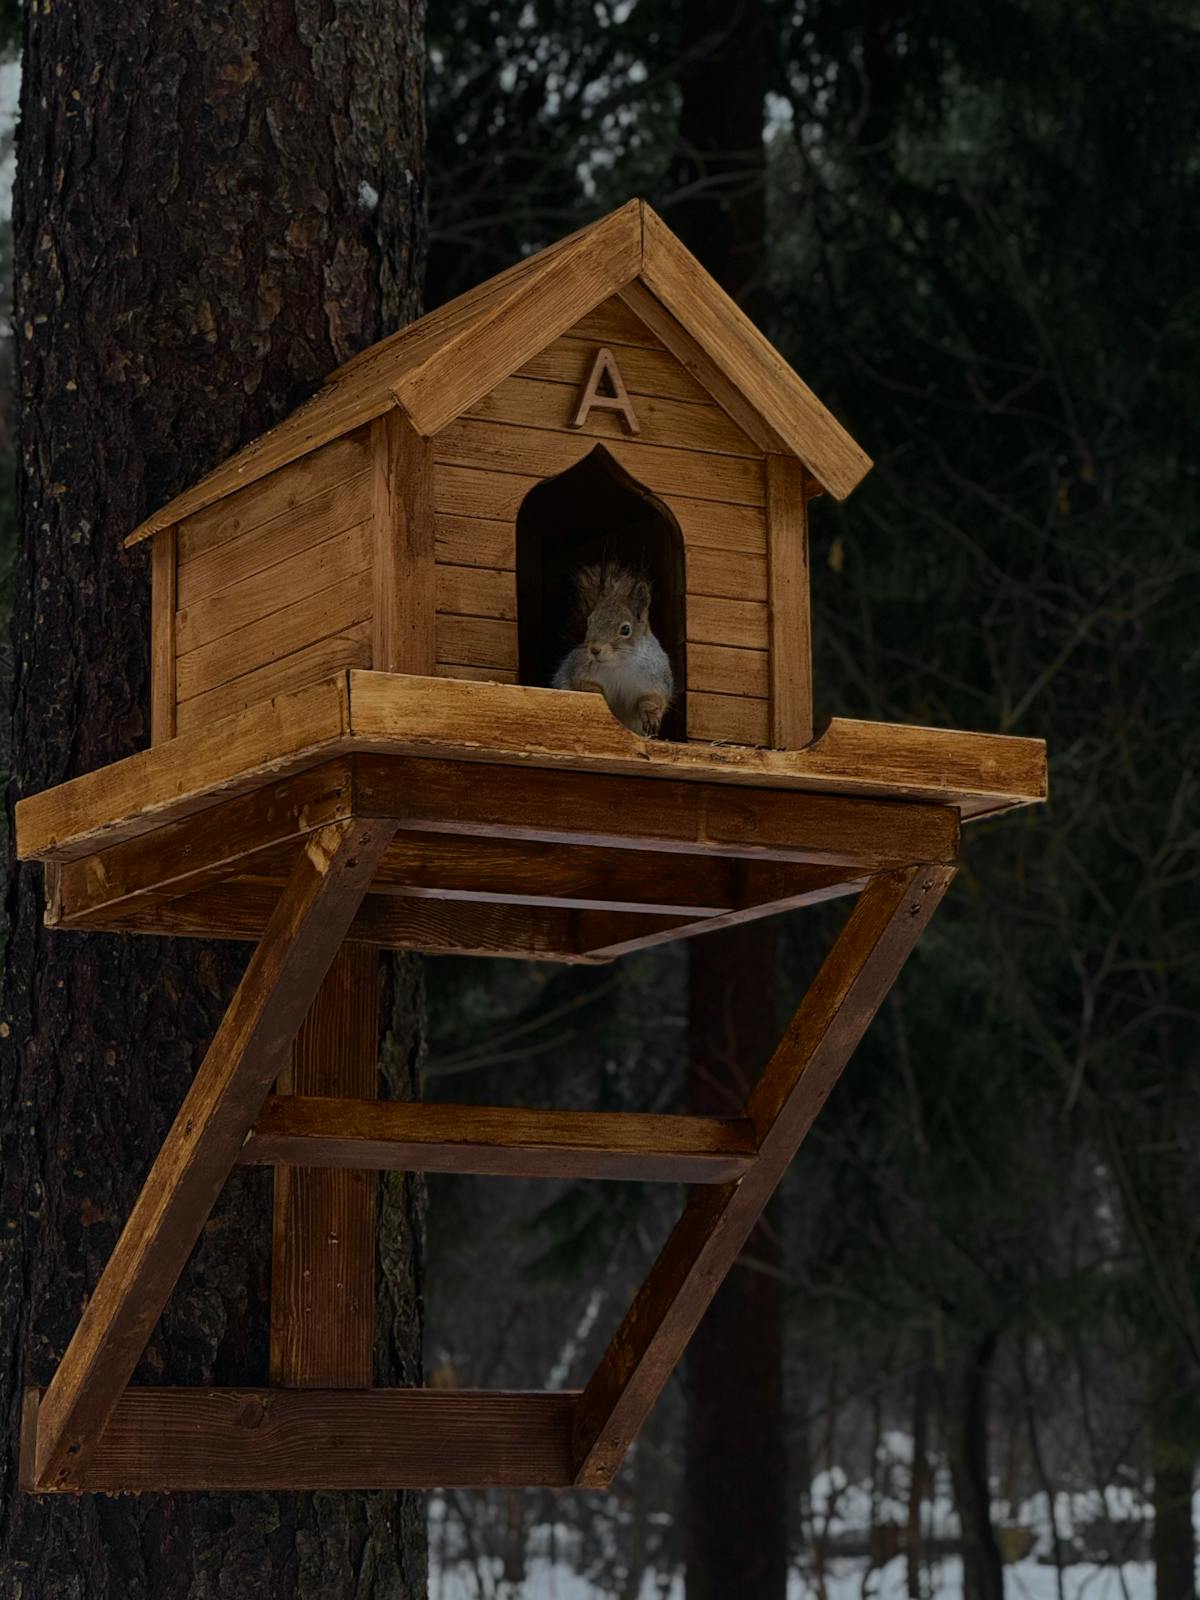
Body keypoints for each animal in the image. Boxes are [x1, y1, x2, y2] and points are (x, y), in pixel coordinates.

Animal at [552, 562, 674, 737]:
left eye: (625, 629)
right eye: (589, 622)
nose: (594, 649)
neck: (619, 664)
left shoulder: (657, 678)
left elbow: (654, 698)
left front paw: (651, 715)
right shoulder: (578, 669)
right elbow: (582, 684)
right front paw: (597, 692)